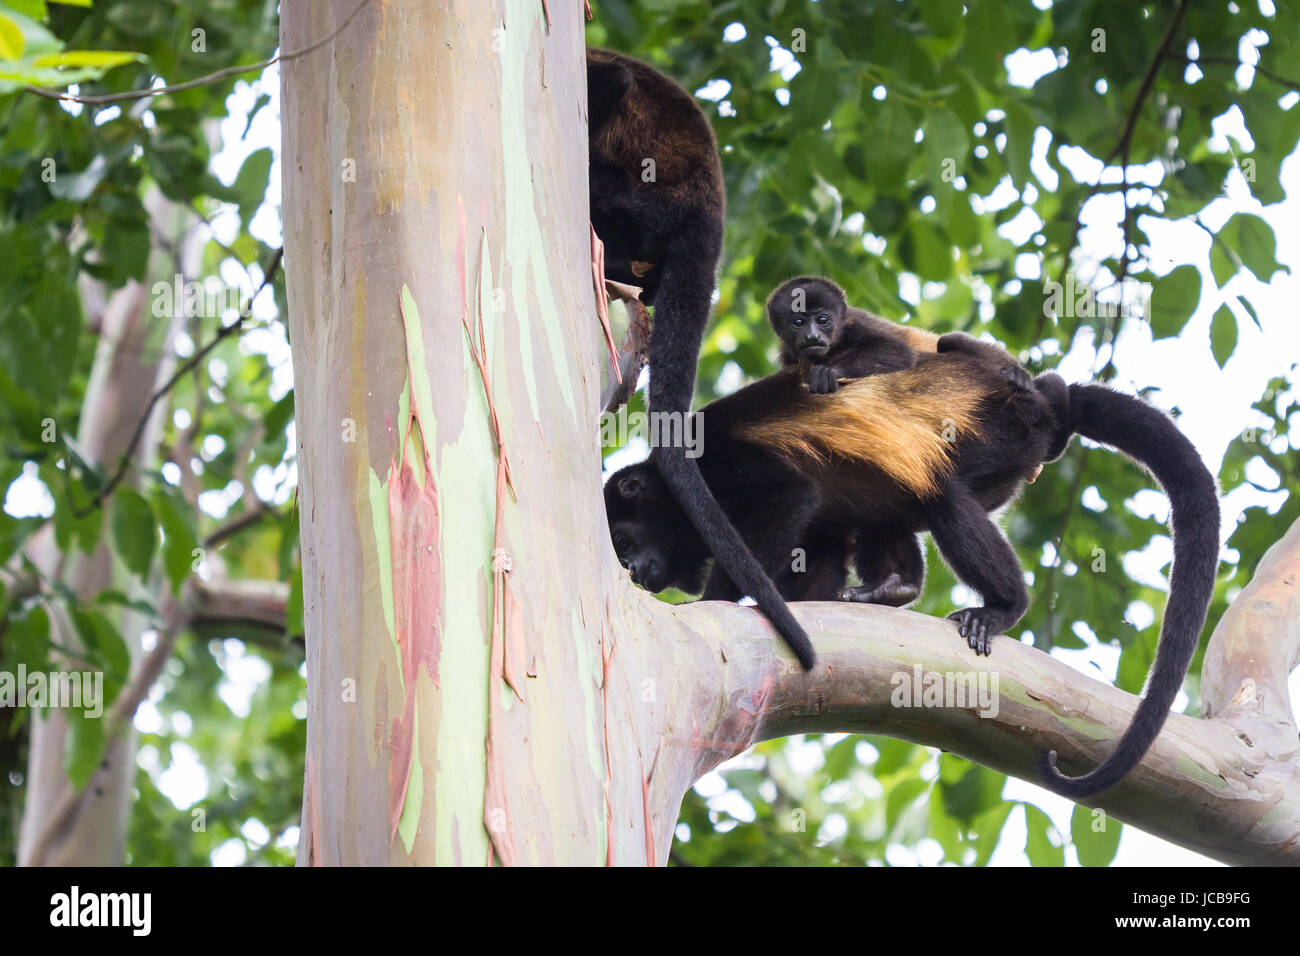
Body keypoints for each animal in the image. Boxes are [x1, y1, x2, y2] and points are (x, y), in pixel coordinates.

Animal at [605, 353, 1220, 799]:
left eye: (626, 542)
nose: (632, 572)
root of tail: (1048, 402)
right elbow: (822, 540)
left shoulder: (720, 463)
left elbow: (792, 494)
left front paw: (714, 602)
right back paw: (894, 588)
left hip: (1002, 433)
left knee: (943, 493)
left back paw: (1002, 607)